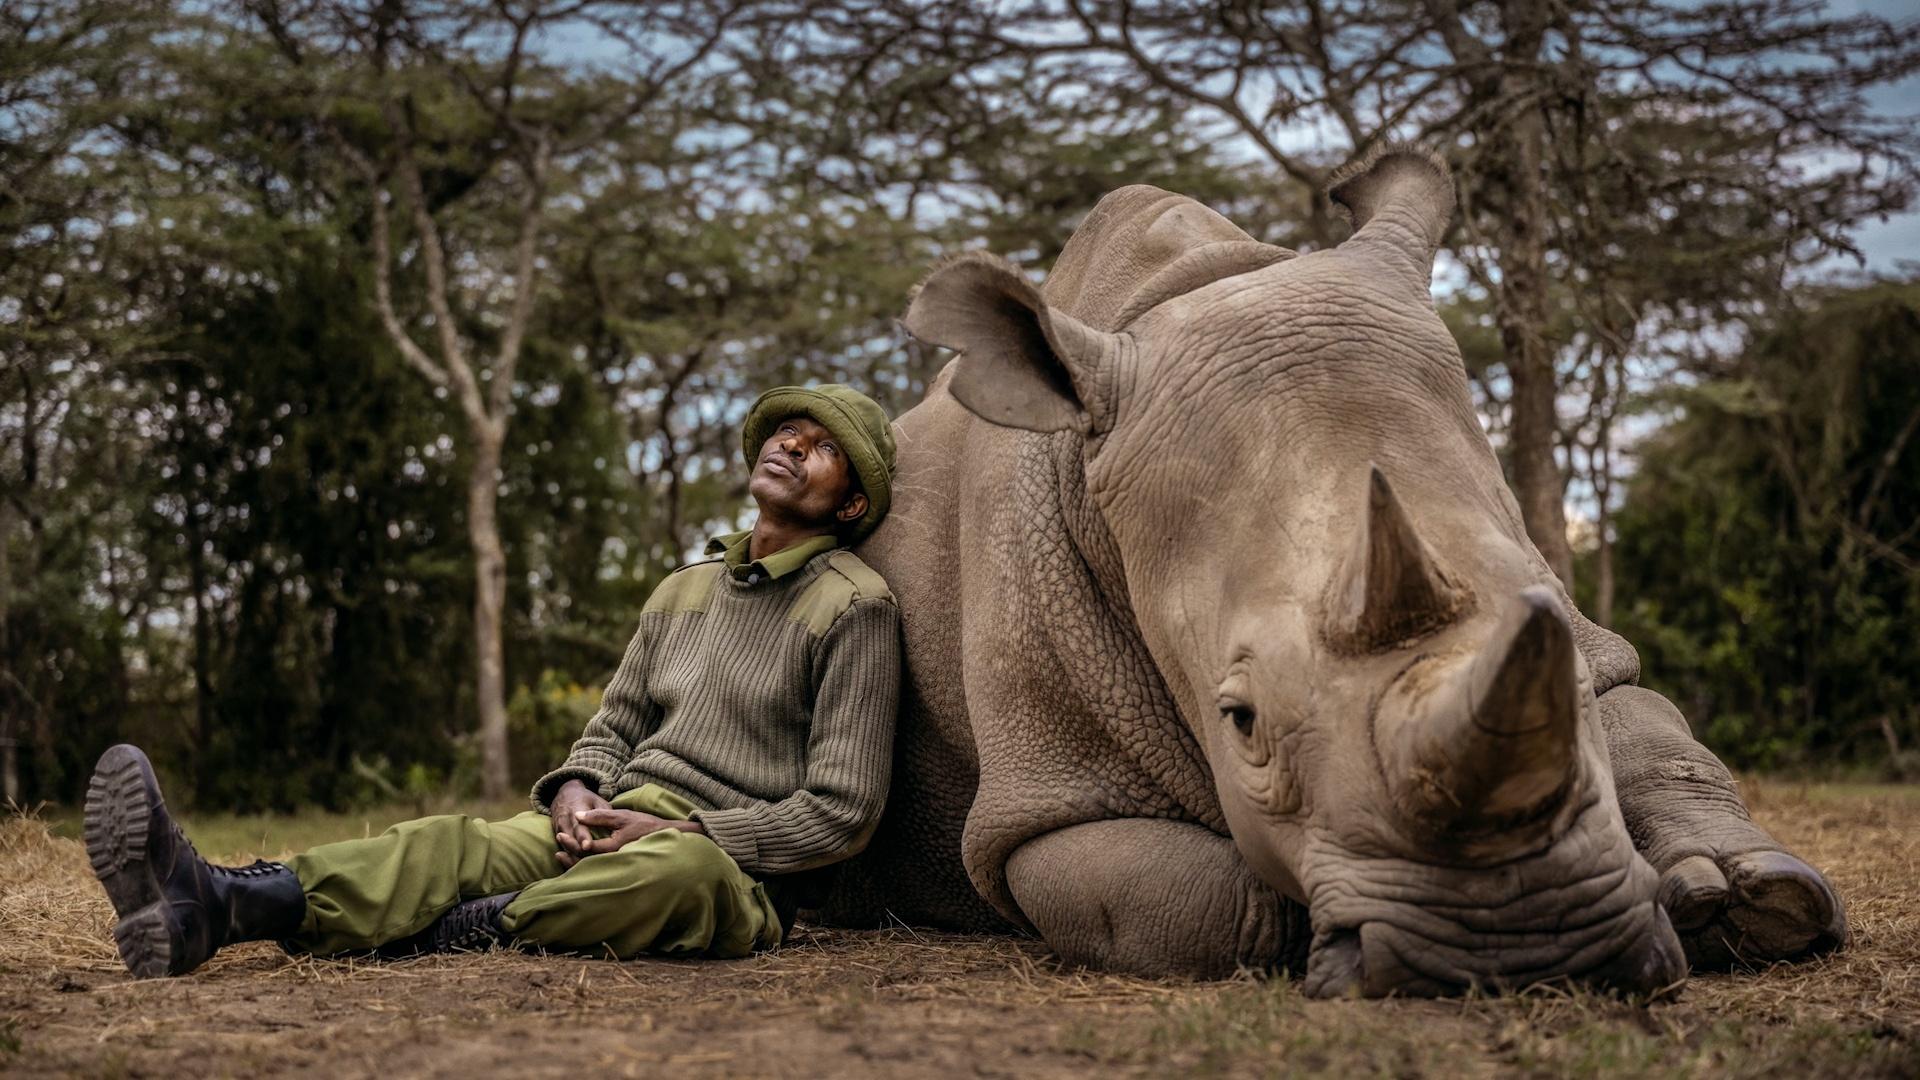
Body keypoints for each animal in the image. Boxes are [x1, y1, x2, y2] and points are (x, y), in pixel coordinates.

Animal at [816, 145, 1847, 997]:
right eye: (1240, 721)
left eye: (1546, 622)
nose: (1523, 947)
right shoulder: (1047, 800)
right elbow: (1202, 899)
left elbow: (1654, 728)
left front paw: (1751, 902)